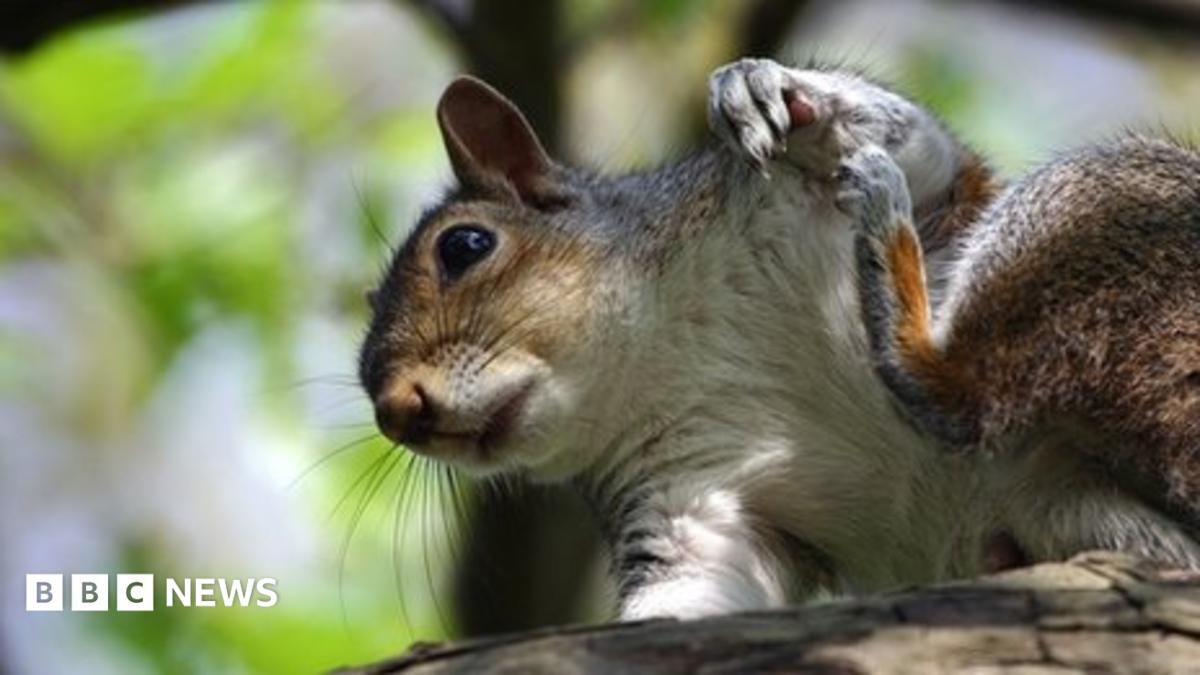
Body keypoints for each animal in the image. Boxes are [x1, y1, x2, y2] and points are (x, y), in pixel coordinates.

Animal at [358, 57, 1200, 621]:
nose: (397, 411)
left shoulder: (898, 196)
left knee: (956, 390)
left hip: (1096, 207)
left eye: (465, 246)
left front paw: (767, 89)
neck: (664, 351)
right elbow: (690, 595)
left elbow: (919, 146)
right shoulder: (688, 509)